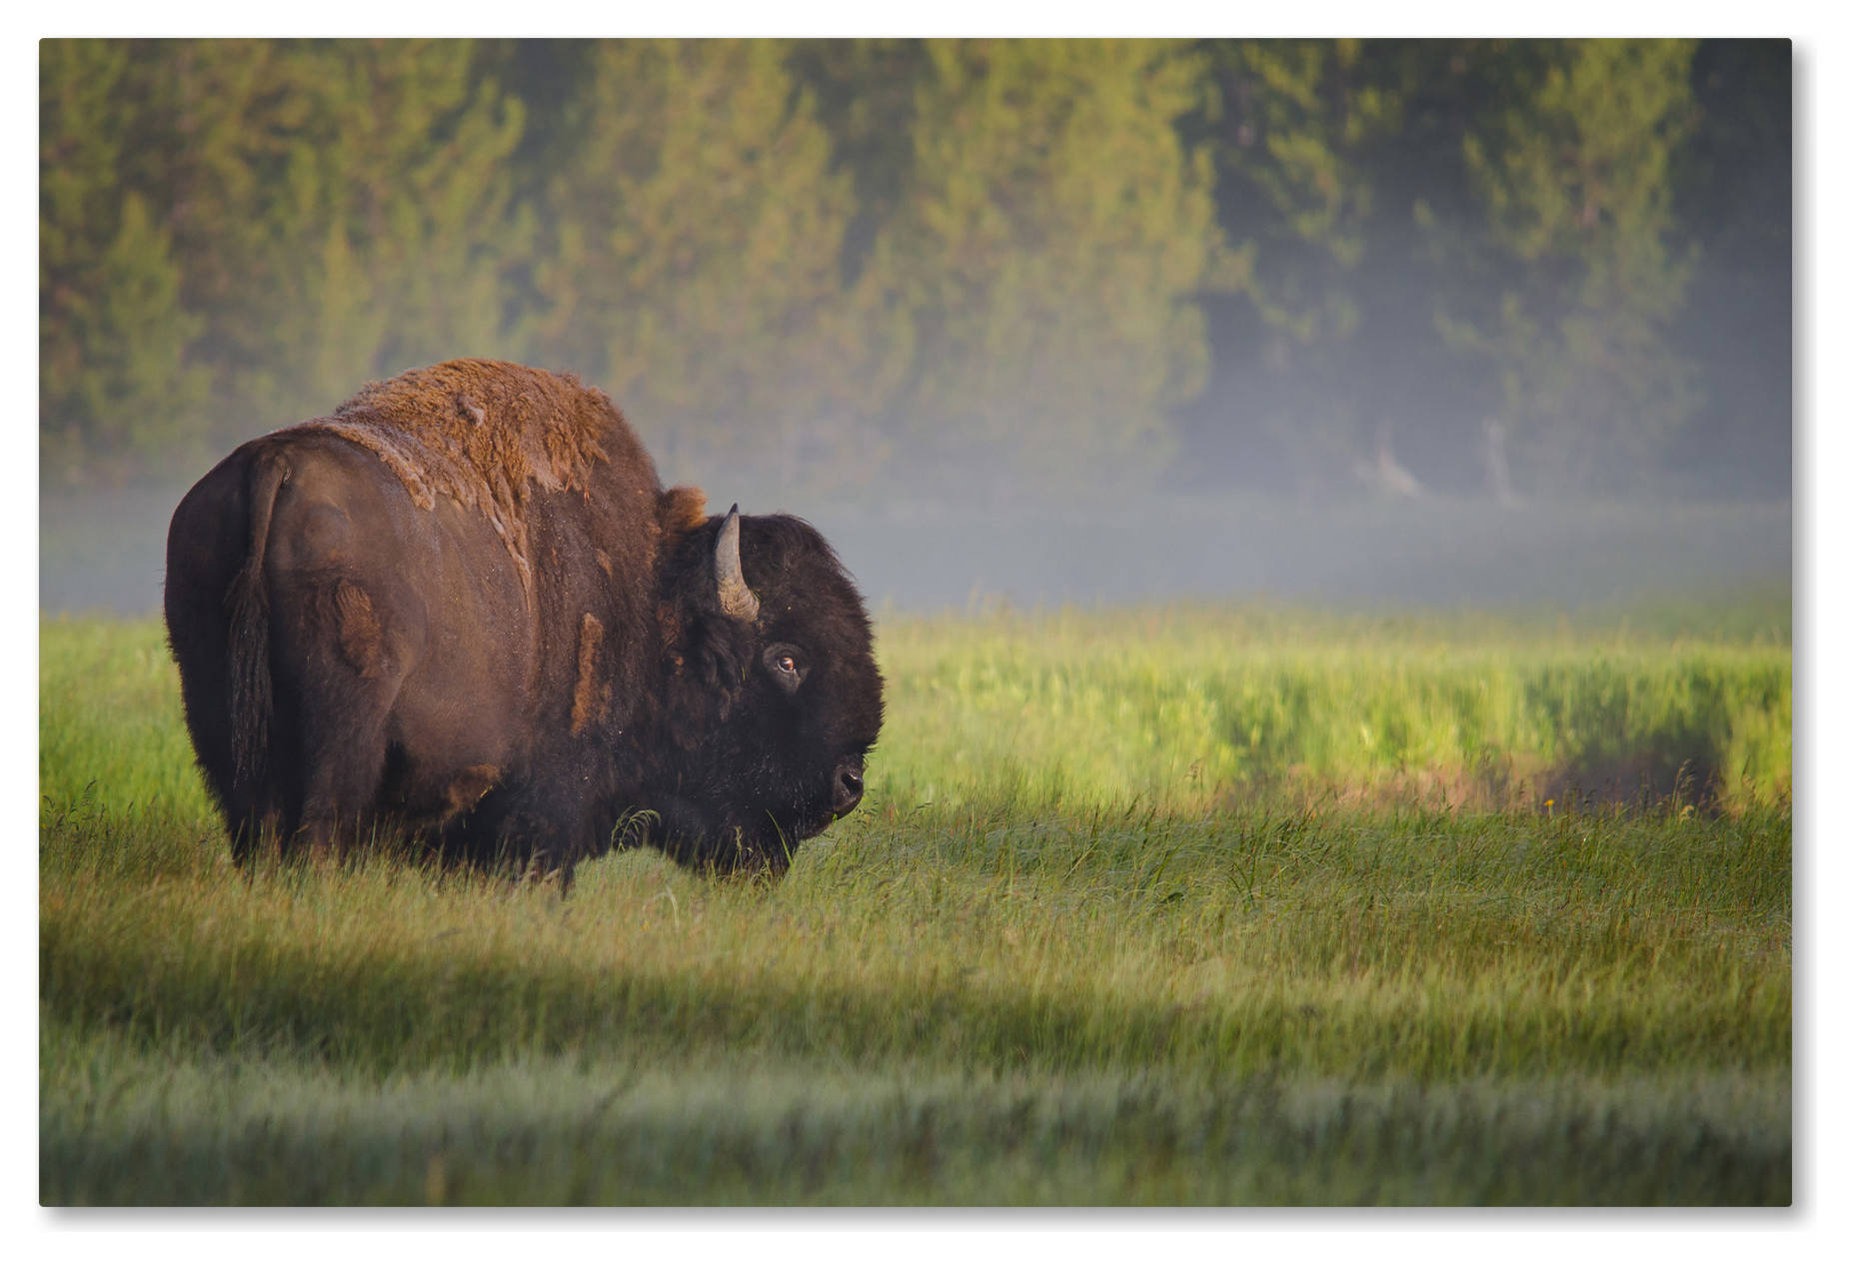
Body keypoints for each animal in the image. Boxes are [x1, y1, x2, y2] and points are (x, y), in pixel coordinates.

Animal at [164, 359, 884, 881]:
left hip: (220, 722)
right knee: (317, 832)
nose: (849, 784)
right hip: (340, 736)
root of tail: (274, 466)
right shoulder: (546, 810)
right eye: (785, 658)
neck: (648, 596)